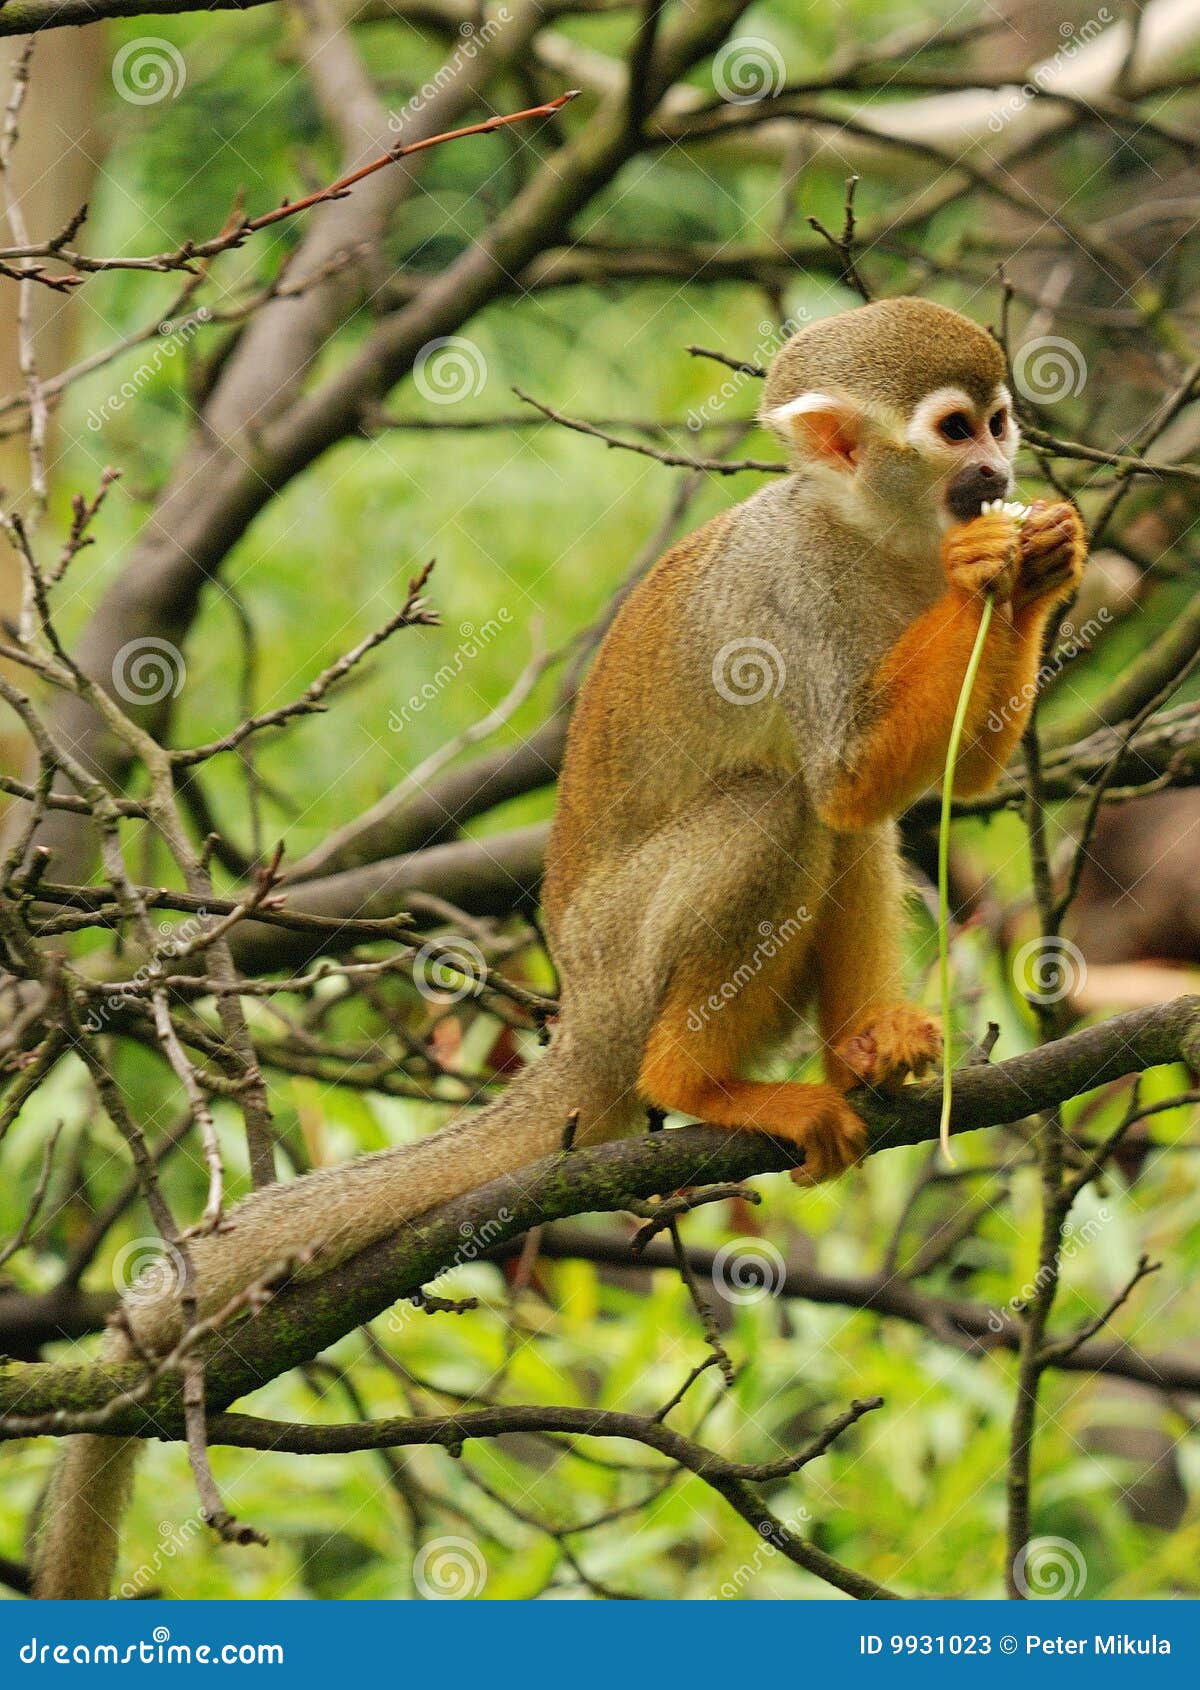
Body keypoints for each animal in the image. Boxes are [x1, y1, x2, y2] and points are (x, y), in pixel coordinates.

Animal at [34, 296, 1086, 1598]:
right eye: (953, 431)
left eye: (1001, 419)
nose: (999, 470)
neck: (872, 533)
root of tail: (581, 1017)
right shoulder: (797, 591)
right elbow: (848, 772)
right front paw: (997, 569)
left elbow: (937, 782)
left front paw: (1042, 562)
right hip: (628, 956)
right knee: (785, 805)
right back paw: (697, 1078)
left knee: (842, 829)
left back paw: (860, 1048)